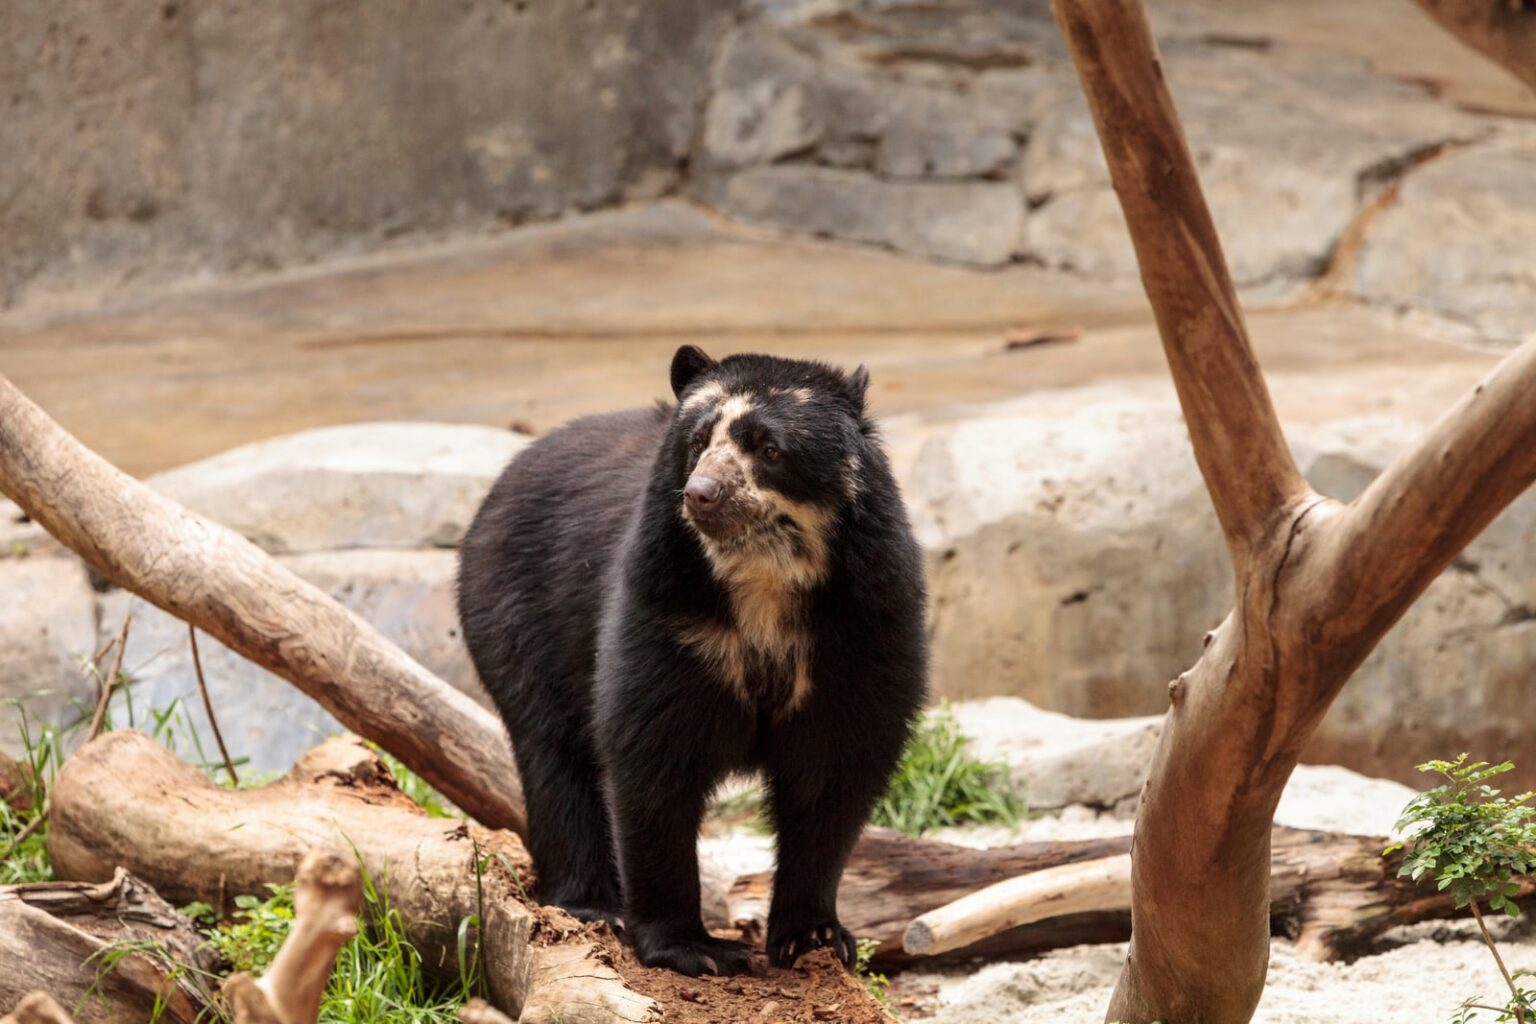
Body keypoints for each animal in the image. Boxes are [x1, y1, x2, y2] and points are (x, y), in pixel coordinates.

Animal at [457, 346, 928, 977]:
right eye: (698, 441)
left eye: (769, 448)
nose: (702, 493)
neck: (764, 579)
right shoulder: (667, 610)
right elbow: (653, 757)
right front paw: (695, 948)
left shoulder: (865, 624)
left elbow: (834, 772)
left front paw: (815, 937)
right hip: (519, 616)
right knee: (555, 756)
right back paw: (591, 905)